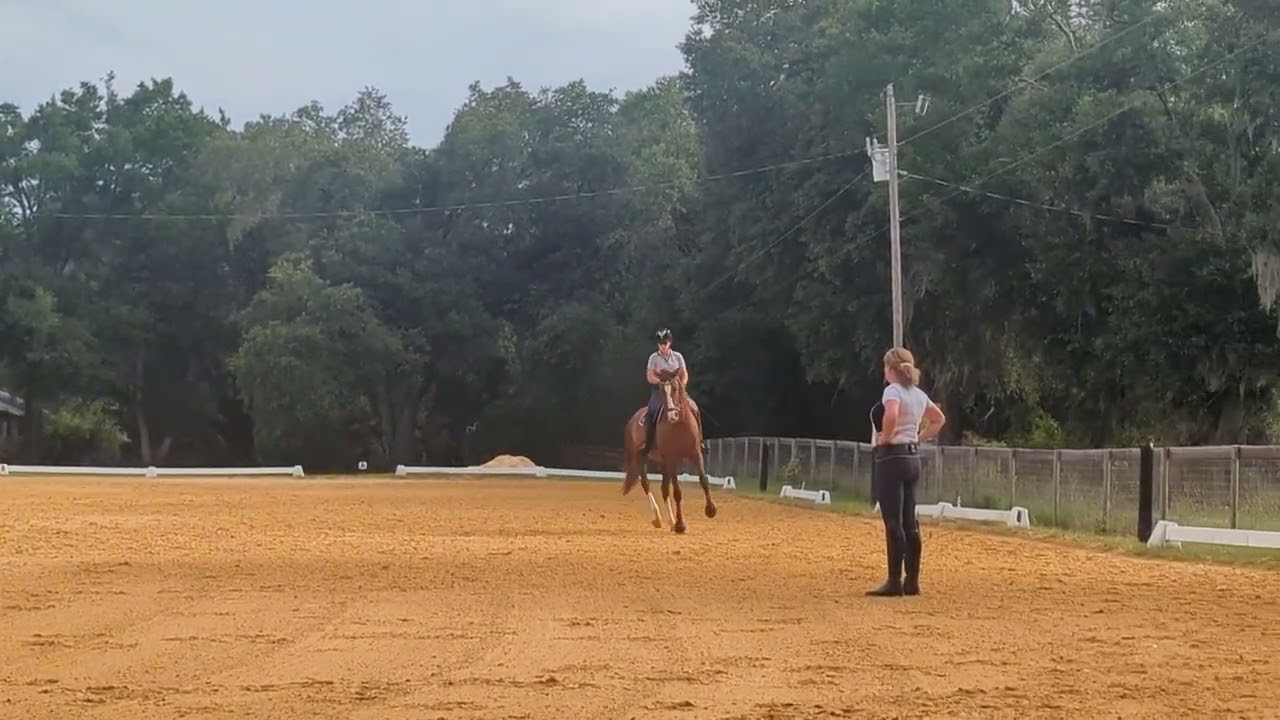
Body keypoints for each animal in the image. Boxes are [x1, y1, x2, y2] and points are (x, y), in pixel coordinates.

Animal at [621, 368, 717, 533]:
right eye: (660, 389)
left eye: (676, 388)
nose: (672, 415)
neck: (680, 425)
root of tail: (632, 419)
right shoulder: (672, 459)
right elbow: (677, 492)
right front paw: (681, 525)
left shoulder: (695, 454)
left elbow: (703, 479)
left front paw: (710, 510)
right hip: (642, 459)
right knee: (646, 483)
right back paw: (658, 518)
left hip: (663, 462)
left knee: (664, 488)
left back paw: (671, 522)